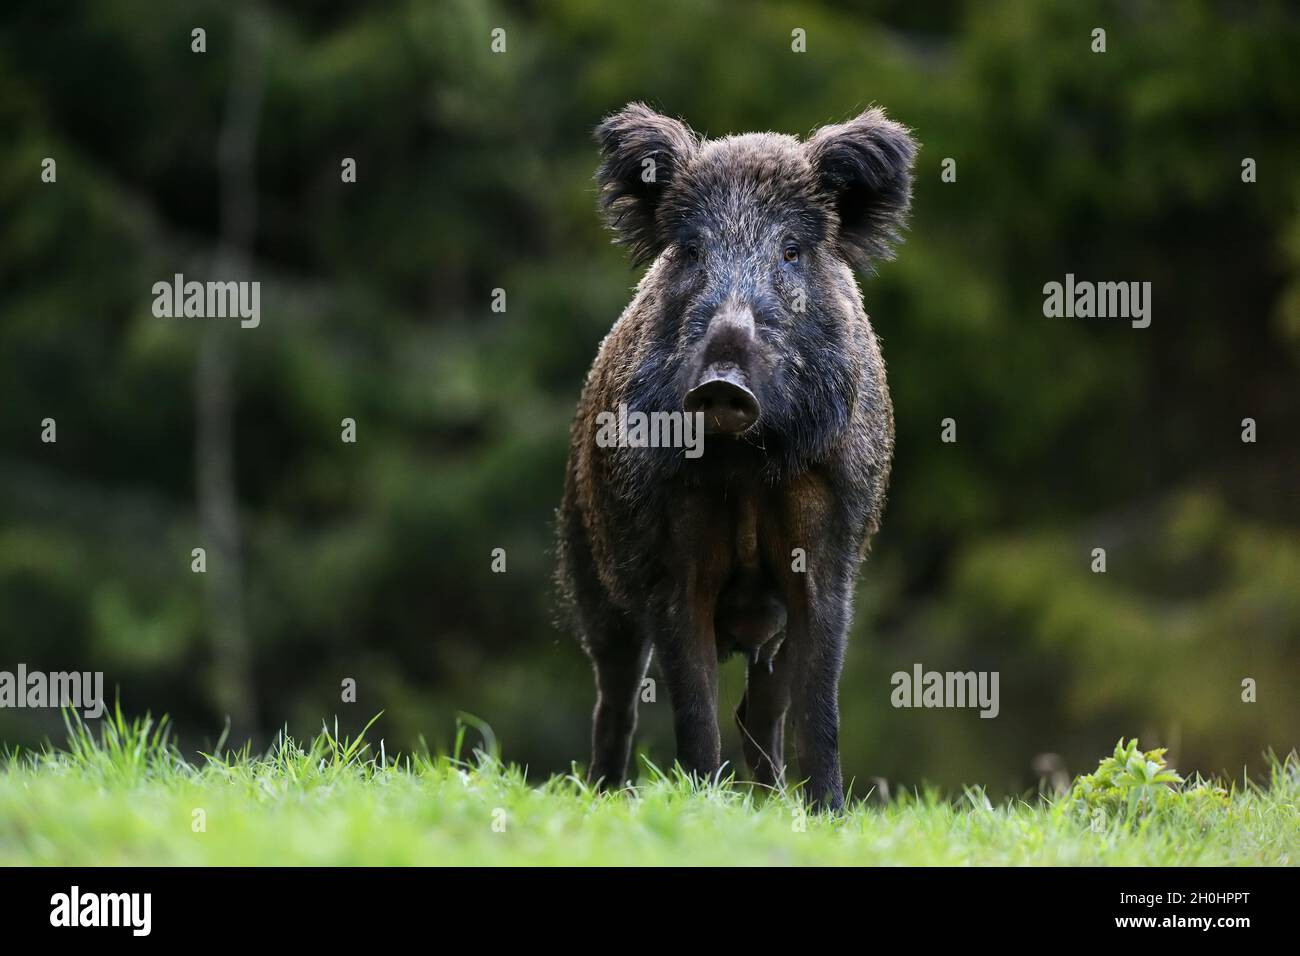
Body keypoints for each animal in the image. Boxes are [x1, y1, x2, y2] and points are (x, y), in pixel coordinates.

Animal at [556, 103, 916, 810]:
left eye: (790, 250)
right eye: (692, 251)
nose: (722, 382)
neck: (747, 470)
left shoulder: (827, 555)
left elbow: (819, 708)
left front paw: (828, 813)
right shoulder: (672, 561)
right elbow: (694, 709)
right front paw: (701, 801)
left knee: (759, 711)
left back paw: (774, 799)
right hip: (590, 573)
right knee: (615, 701)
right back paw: (607, 793)